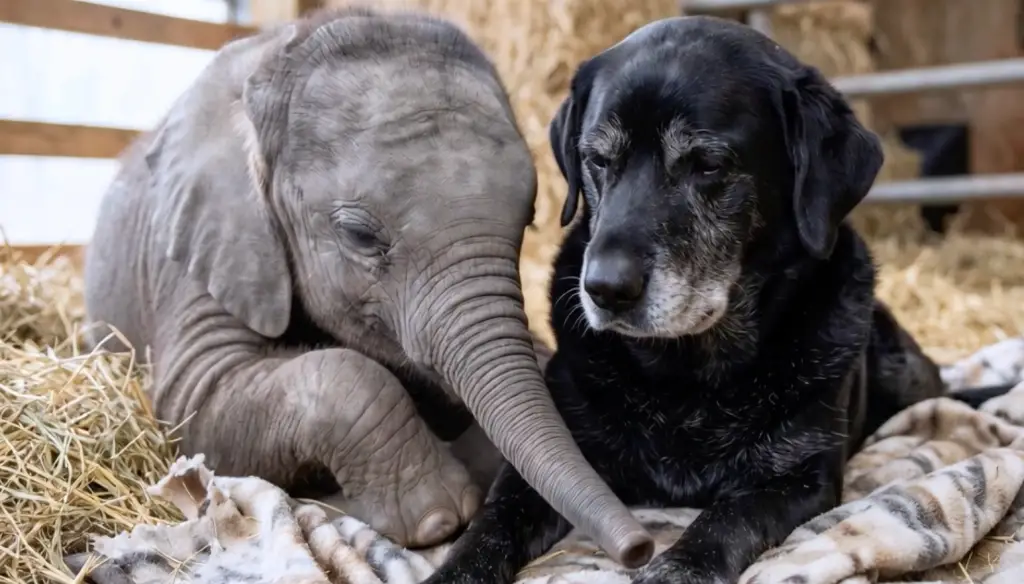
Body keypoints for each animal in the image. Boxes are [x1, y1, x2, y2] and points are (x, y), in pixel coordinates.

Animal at [81, 7, 652, 567]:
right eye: (359, 235)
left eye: (529, 220)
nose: (639, 548)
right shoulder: (206, 247)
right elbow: (197, 395)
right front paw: (437, 516)